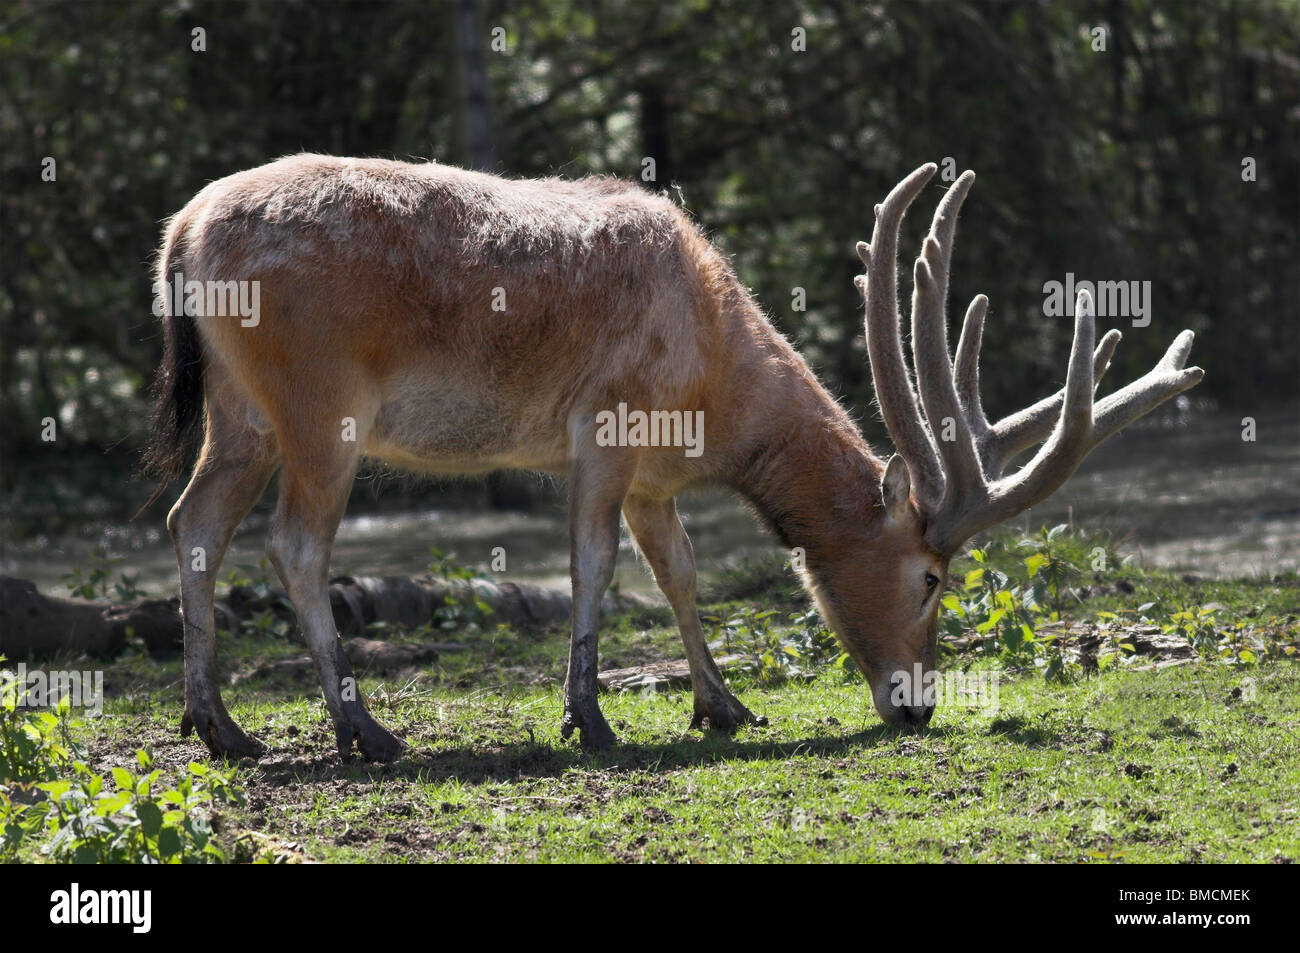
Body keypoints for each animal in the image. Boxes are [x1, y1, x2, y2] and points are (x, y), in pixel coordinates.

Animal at [143, 156, 1203, 761]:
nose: (916, 706)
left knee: (191, 521)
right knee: (294, 547)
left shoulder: (652, 479)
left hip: (240, 414)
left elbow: (680, 572)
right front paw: (591, 720)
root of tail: (179, 232)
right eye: (934, 576)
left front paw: (723, 704)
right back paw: (363, 729)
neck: (712, 381)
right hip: (321, 407)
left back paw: (219, 725)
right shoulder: (604, 428)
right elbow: (594, 565)